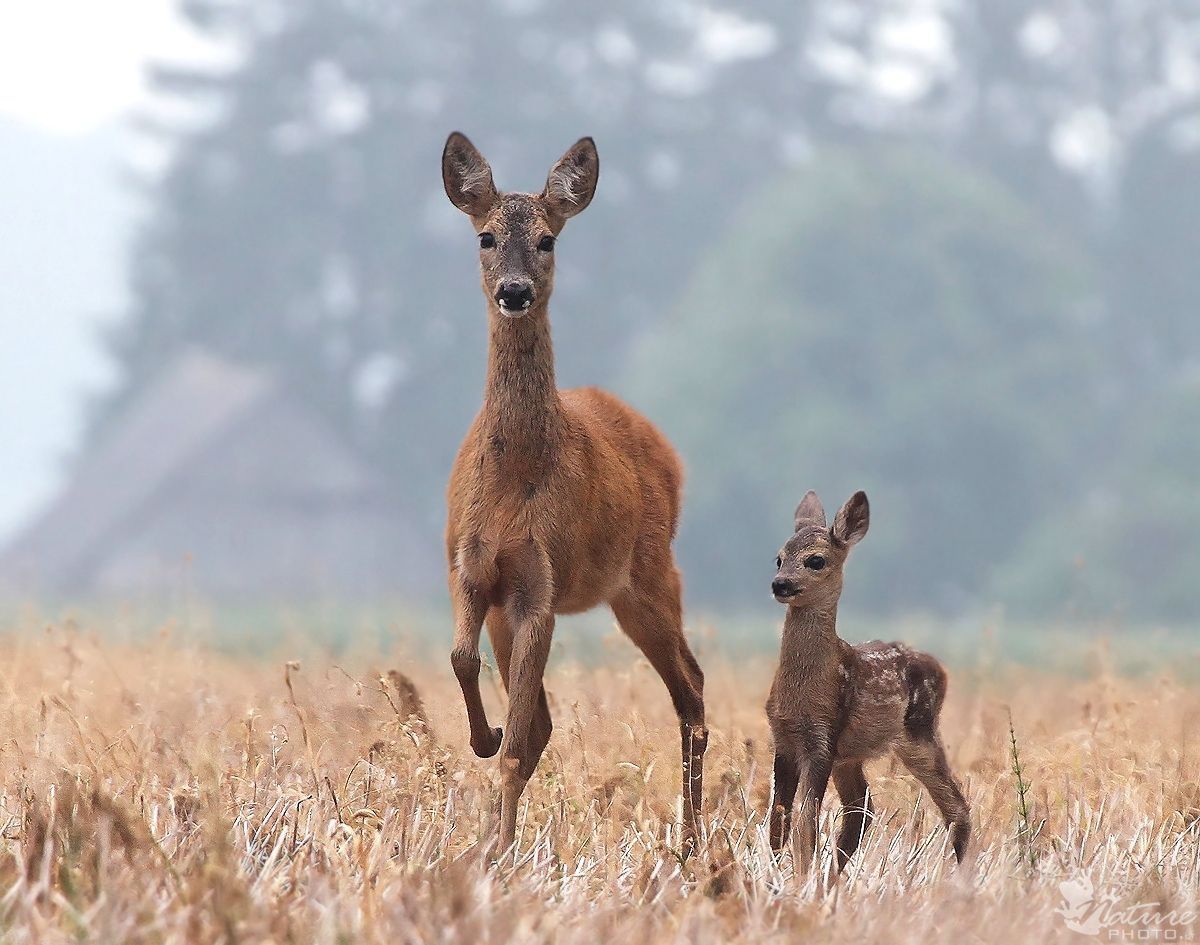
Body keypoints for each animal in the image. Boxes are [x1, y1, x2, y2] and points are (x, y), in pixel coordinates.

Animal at [440, 132, 707, 855]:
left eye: (547, 239)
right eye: (485, 236)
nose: (514, 291)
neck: (513, 483)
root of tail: (666, 451)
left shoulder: (541, 587)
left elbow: (516, 743)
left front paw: (504, 849)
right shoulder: (471, 571)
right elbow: (464, 663)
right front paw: (483, 740)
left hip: (648, 576)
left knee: (693, 691)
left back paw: (693, 842)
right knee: (554, 721)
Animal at [766, 490, 970, 872]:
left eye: (815, 560)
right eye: (779, 558)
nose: (780, 583)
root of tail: (939, 666)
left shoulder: (824, 735)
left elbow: (805, 821)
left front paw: (800, 877)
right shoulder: (783, 738)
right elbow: (779, 820)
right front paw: (773, 874)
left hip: (919, 732)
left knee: (956, 805)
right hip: (852, 757)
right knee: (861, 811)